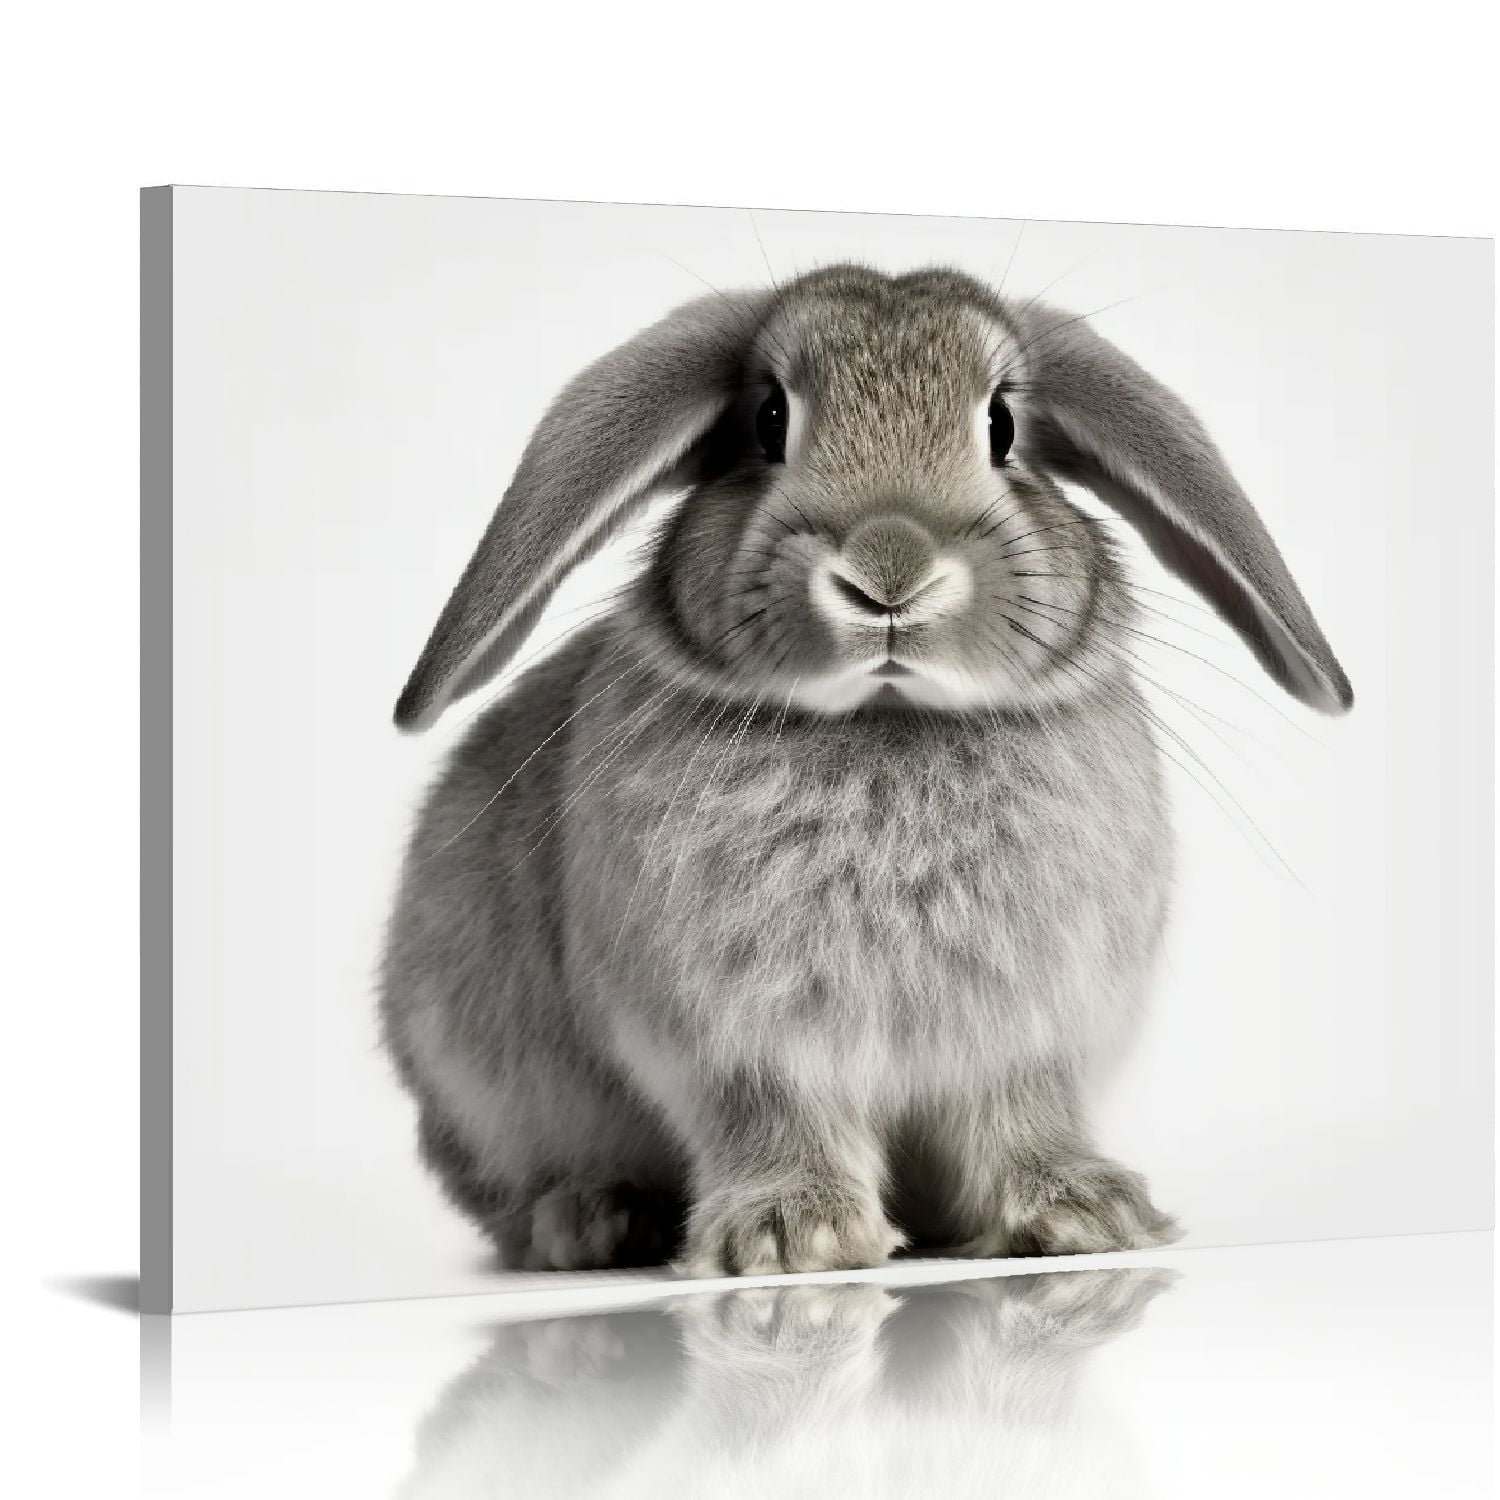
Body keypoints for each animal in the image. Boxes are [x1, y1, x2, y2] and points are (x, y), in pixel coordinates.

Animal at [380, 263, 1352, 1277]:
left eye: (1002, 425)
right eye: (770, 419)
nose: (890, 567)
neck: (888, 721)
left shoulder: (1023, 1035)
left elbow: (1020, 1113)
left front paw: (1086, 1216)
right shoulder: (739, 1042)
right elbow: (774, 1113)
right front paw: (791, 1237)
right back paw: (595, 1218)